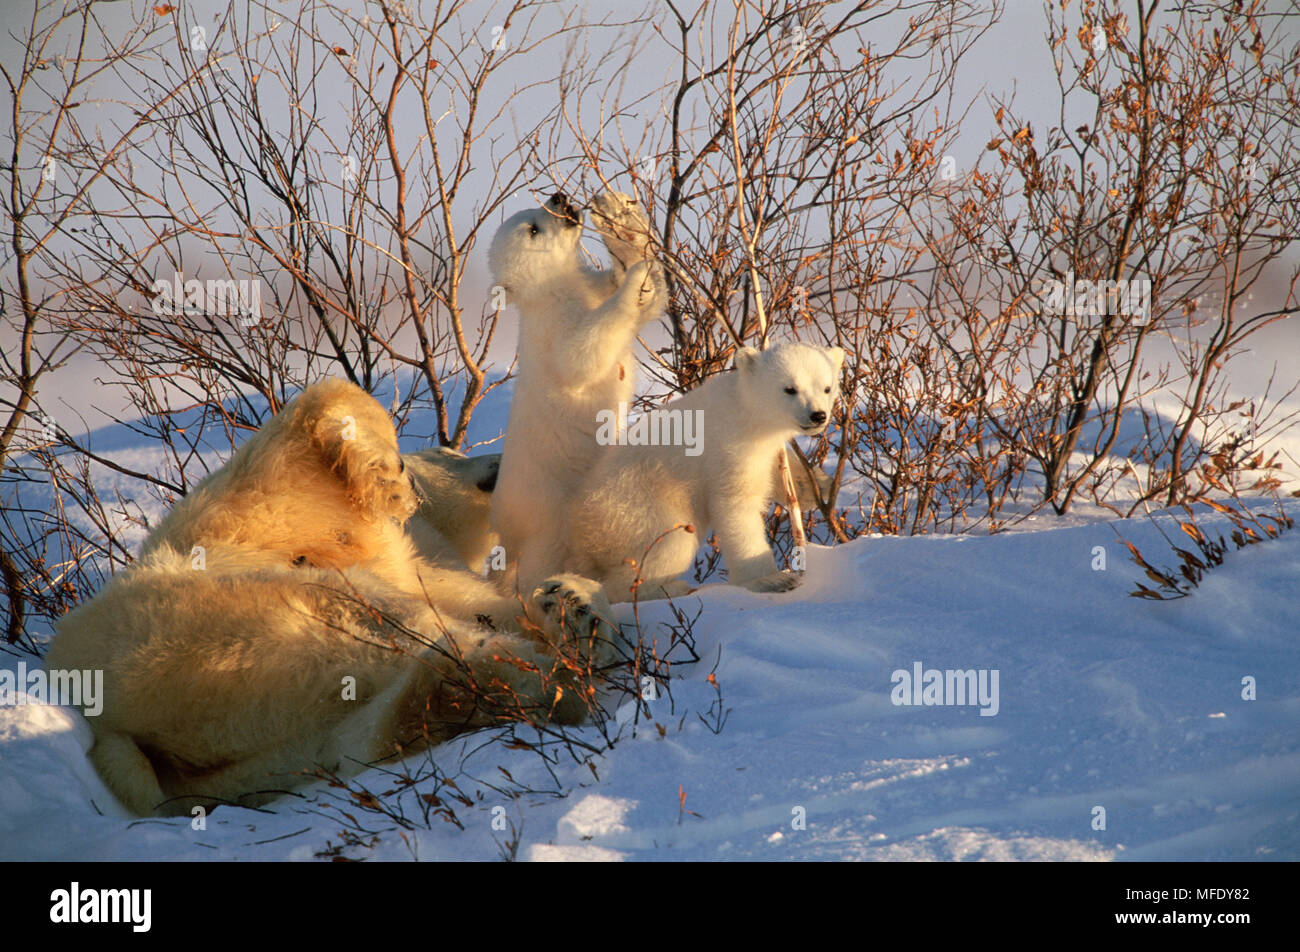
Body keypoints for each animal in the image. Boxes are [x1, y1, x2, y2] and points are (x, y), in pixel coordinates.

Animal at [44, 379, 620, 816]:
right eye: (448, 450)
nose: (498, 462)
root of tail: (122, 734)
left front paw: (561, 598)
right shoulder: (245, 523)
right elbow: (297, 444)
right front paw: (386, 470)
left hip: (263, 750)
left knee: (367, 725)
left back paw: (554, 637)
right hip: (203, 638)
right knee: (372, 625)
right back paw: (555, 670)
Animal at [487, 190, 668, 596]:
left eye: (538, 205)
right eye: (533, 228)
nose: (559, 197)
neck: (552, 288)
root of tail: (506, 532)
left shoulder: (590, 285)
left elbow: (646, 301)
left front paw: (624, 224)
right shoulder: (551, 326)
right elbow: (581, 356)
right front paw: (635, 278)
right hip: (549, 513)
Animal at [561, 342, 845, 602]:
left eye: (827, 387)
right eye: (789, 388)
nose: (818, 415)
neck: (745, 411)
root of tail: (580, 533)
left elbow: (776, 468)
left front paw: (817, 486)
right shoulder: (730, 448)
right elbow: (737, 506)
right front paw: (771, 579)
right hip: (638, 510)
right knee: (668, 546)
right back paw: (668, 588)